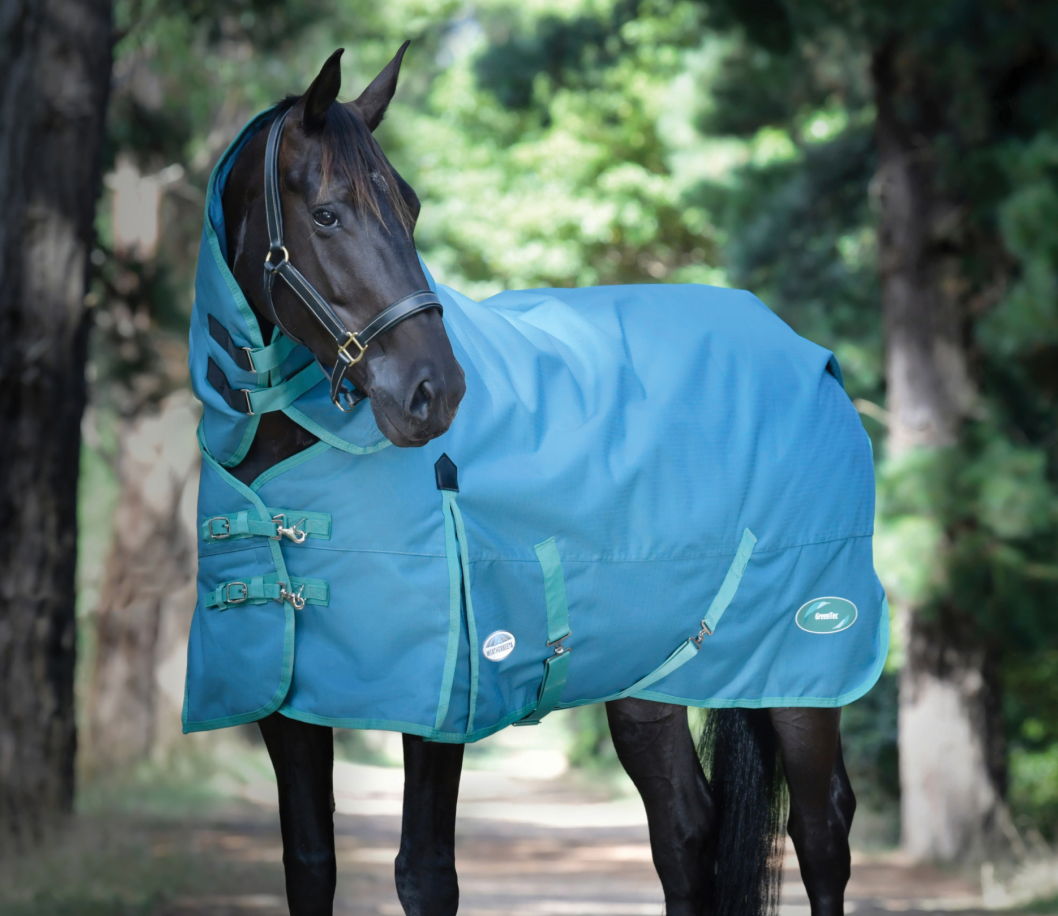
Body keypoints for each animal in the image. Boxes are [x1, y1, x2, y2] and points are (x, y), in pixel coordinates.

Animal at [206, 45, 861, 916]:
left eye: (410, 208)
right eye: (327, 216)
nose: (436, 390)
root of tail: (813, 356)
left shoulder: (444, 691)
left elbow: (425, 873)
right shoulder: (287, 703)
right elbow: (310, 865)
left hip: (803, 672)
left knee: (821, 830)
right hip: (650, 675)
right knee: (685, 829)